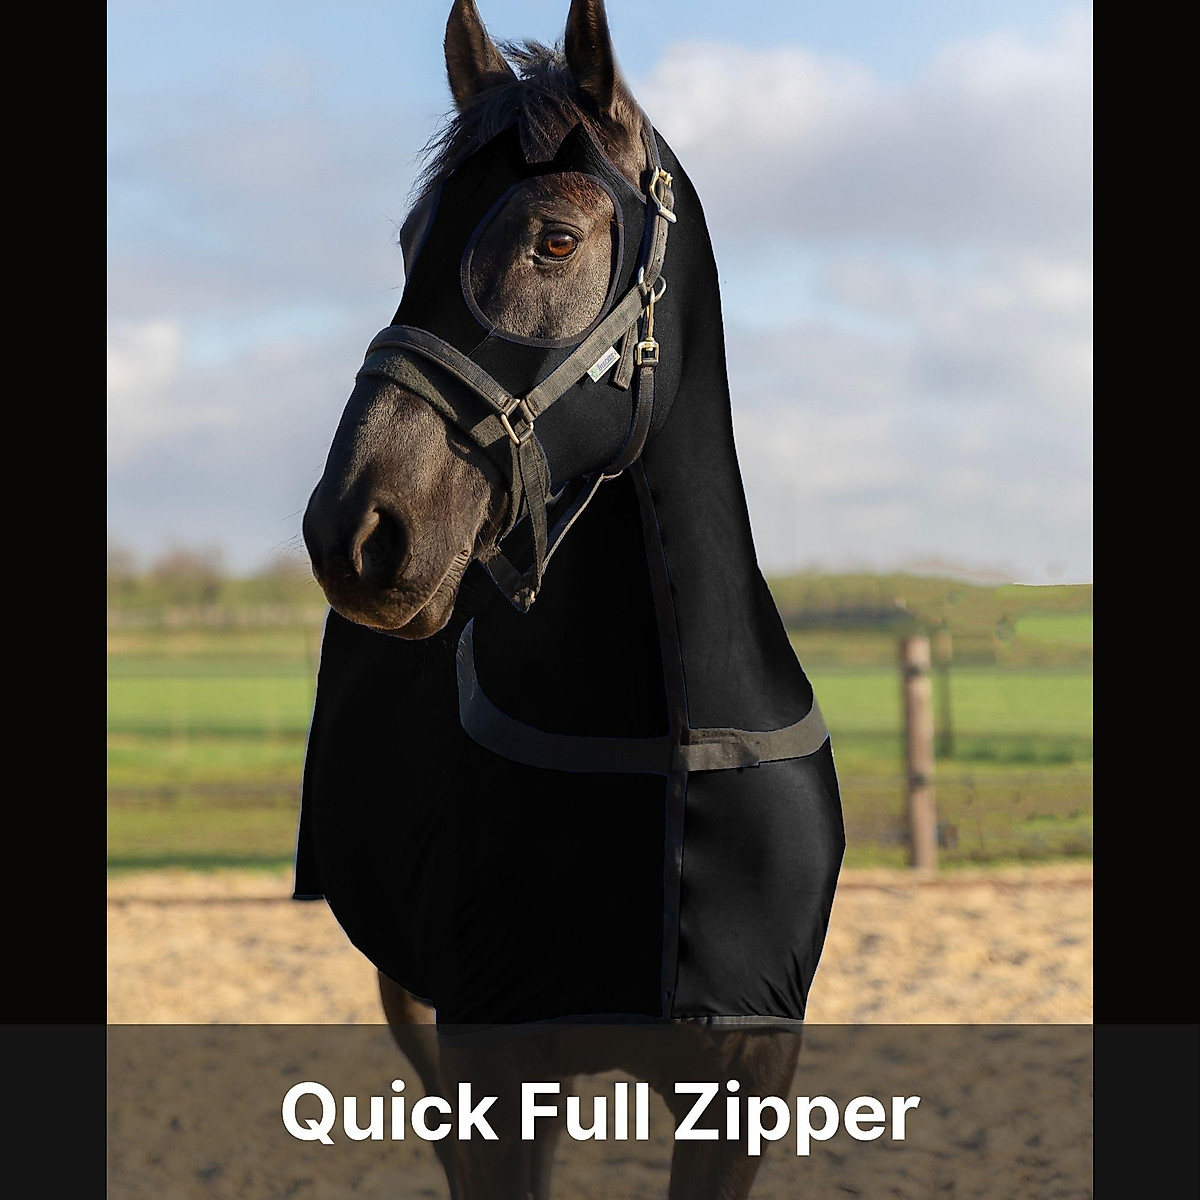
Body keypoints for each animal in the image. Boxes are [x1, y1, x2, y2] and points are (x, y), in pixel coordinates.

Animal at [297, 2, 845, 1195]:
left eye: (554, 239)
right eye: (408, 244)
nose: (353, 531)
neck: (667, 743)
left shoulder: (745, 1082)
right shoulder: (494, 1067)